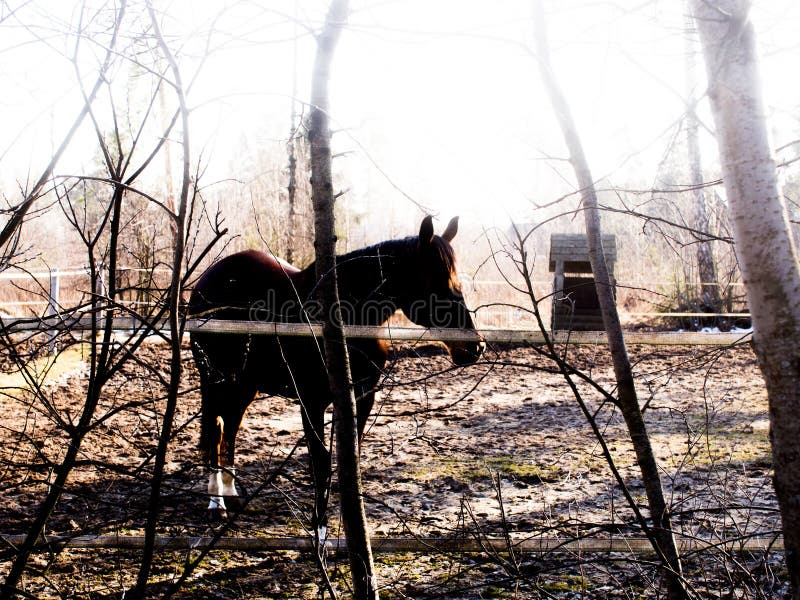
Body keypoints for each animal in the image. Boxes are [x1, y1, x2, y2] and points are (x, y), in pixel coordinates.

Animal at [188, 216, 484, 530]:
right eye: (437, 282)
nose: (475, 347)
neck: (347, 319)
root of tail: (209, 278)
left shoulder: (362, 398)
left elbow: (351, 458)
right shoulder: (311, 402)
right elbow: (321, 463)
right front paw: (320, 526)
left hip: (244, 384)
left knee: (230, 429)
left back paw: (231, 494)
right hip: (213, 380)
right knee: (216, 431)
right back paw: (216, 504)